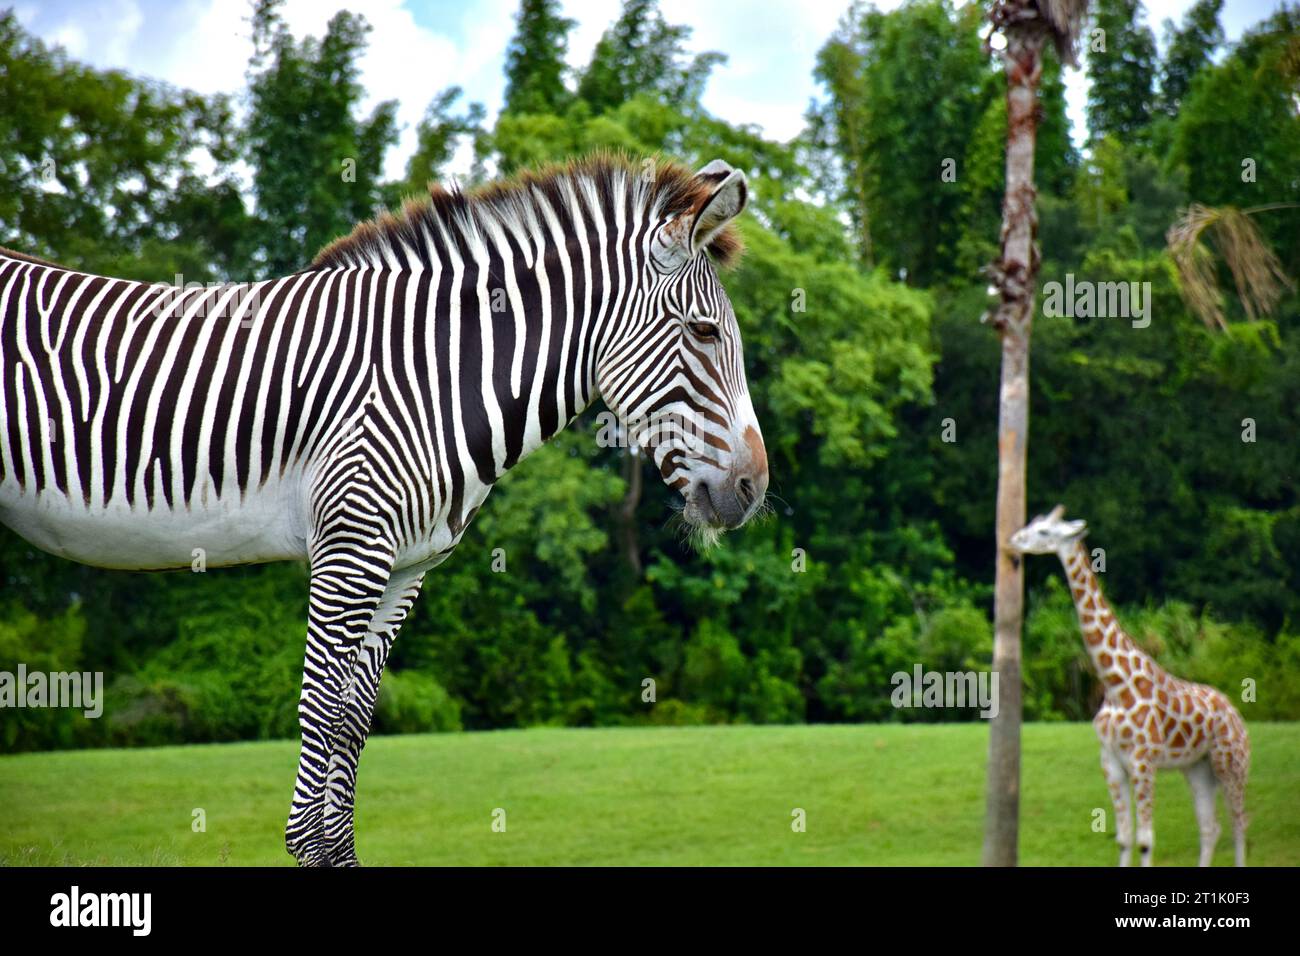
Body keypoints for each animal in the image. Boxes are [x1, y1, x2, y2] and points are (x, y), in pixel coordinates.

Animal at [0, 155, 769, 865]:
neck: (432, 376)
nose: (754, 489)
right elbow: (321, 713)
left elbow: (354, 717)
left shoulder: (405, 565)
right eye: (704, 333)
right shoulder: (350, 546)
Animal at [1009, 506, 1250, 867]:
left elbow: (1146, 841)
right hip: (1197, 768)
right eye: (1033, 523)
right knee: (1211, 827)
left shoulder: (1142, 761)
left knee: (1239, 823)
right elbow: (1124, 838)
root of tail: (1237, 714)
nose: (1014, 540)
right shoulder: (1111, 762)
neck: (1114, 683)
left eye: (1044, 532)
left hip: (1231, 763)